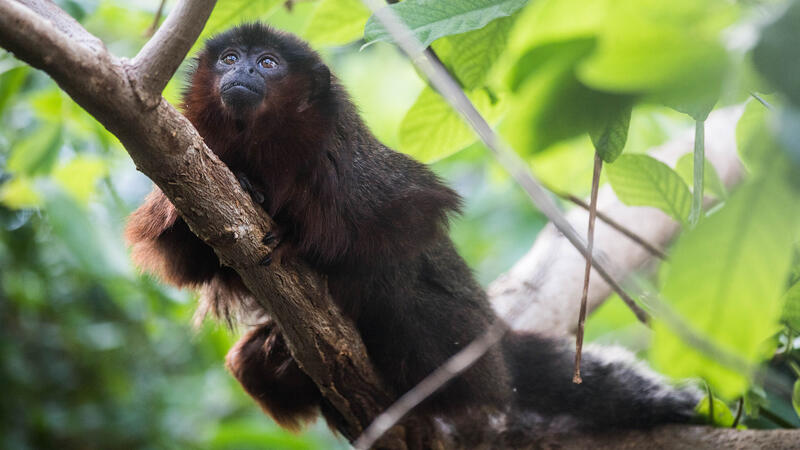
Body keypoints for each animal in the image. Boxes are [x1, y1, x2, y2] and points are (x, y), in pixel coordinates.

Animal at [125, 23, 700, 443]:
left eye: (267, 63)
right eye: (229, 58)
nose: (243, 70)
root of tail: (496, 340)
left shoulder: (352, 170)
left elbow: (405, 229)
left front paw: (295, 237)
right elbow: (183, 254)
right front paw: (246, 190)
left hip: (461, 341)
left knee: (400, 292)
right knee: (248, 363)